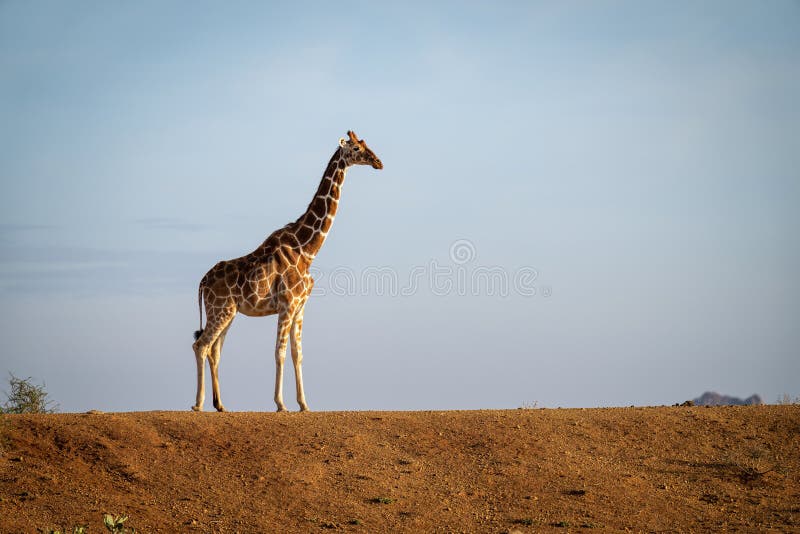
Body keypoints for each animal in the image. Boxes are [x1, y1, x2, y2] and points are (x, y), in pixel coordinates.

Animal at [191, 130, 383, 412]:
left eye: (366, 144)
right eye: (357, 148)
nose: (378, 162)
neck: (307, 250)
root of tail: (202, 282)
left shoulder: (301, 306)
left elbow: (297, 353)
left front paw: (304, 404)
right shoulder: (287, 303)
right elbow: (279, 352)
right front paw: (281, 404)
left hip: (228, 312)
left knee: (214, 351)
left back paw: (221, 405)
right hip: (220, 309)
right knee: (200, 345)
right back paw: (198, 403)